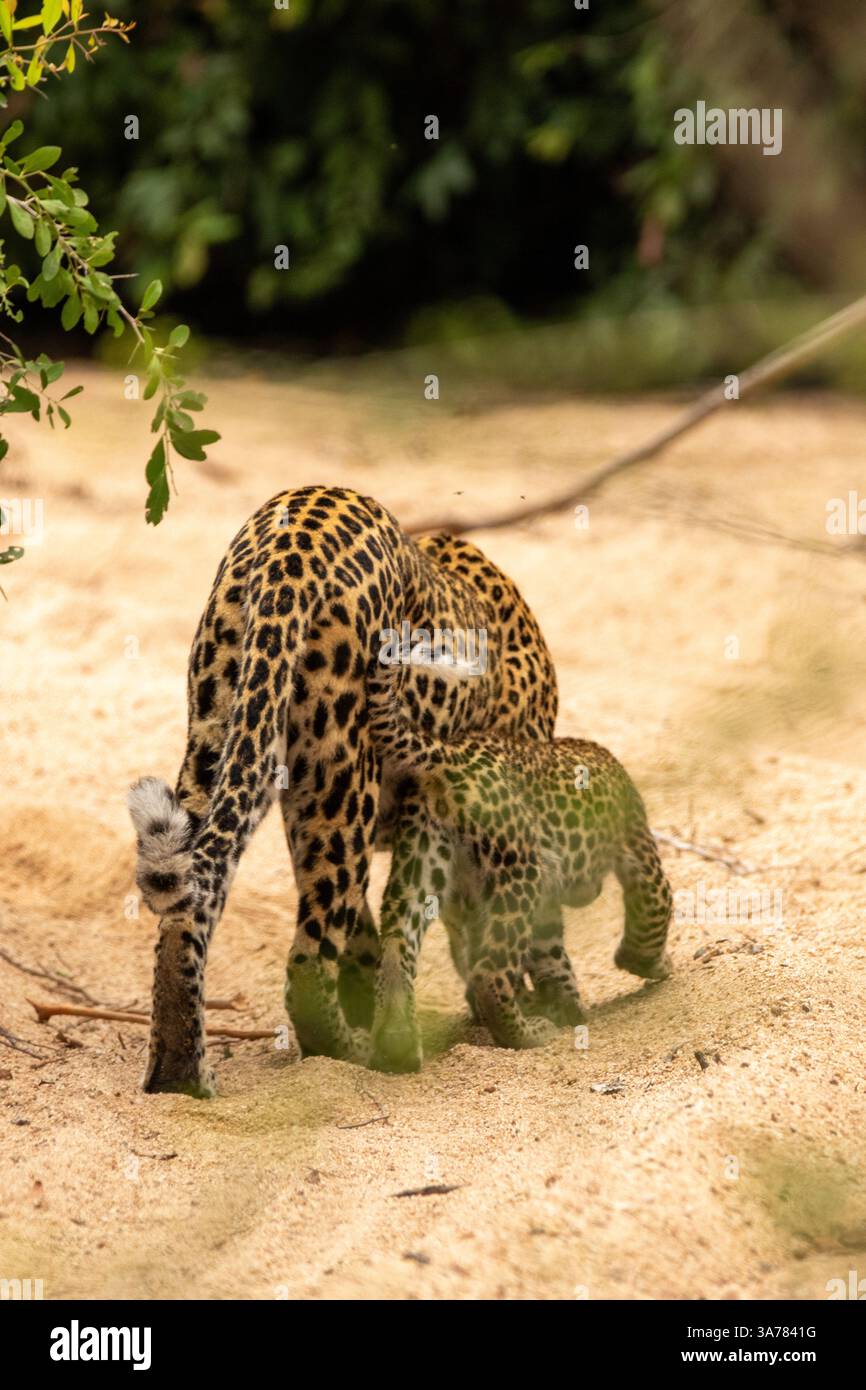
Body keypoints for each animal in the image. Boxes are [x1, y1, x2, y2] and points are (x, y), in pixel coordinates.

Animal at [126, 485, 562, 1096]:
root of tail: (290, 538)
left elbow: (376, 924)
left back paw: (179, 1073)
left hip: (223, 736)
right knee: (306, 960)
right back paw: (341, 1048)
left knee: (190, 902)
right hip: (341, 779)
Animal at [364, 651, 673, 1071]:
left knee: (397, 949)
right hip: (518, 868)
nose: (591, 892)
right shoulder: (635, 842)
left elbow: (551, 956)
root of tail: (448, 754)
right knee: (489, 973)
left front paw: (567, 1008)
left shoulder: (545, 902)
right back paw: (525, 1034)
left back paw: (396, 1044)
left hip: (421, 859)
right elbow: (656, 904)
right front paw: (648, 964)